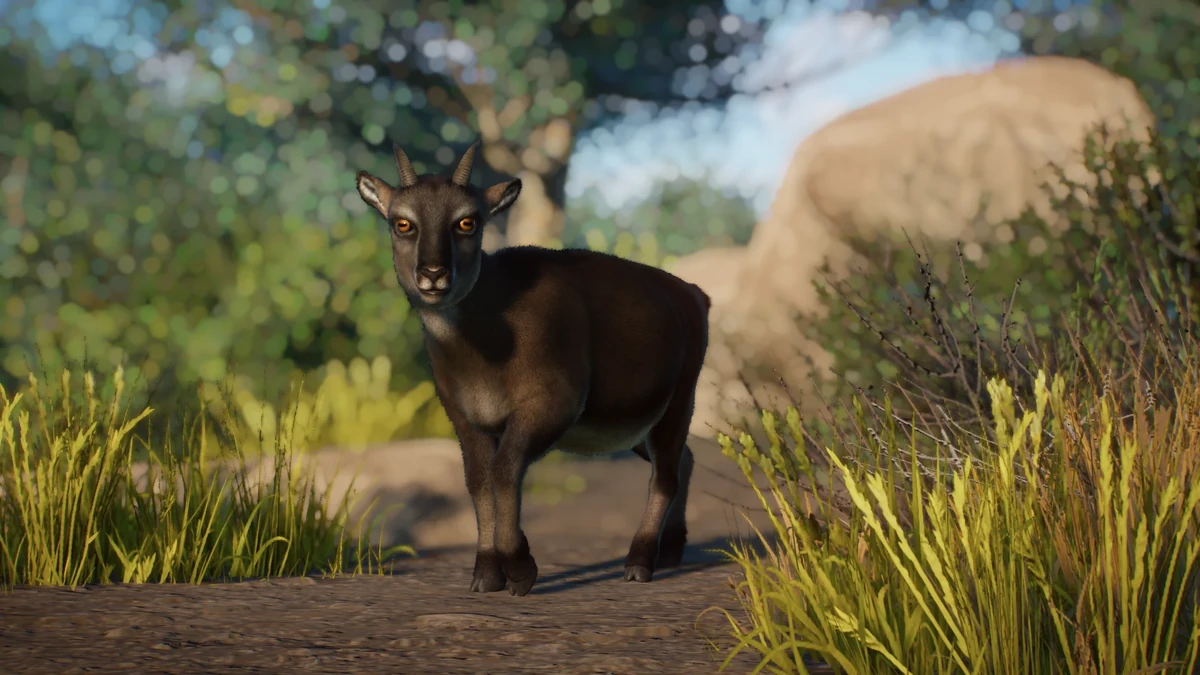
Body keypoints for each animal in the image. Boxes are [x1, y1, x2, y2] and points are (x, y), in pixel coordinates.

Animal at [355, 141, 710, 596]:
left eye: (467, 221)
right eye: (402, 222)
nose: (433, 274)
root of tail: (697, 296)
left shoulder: (551, 405)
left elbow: (505, 471)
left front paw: (521, 570)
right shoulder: (465, 417)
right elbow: (477, 480)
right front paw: (486, 575)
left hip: (680, 399)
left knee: (664, 475)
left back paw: (639, 562)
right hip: (637, 424)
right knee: (684, 459)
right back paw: (671, 551)